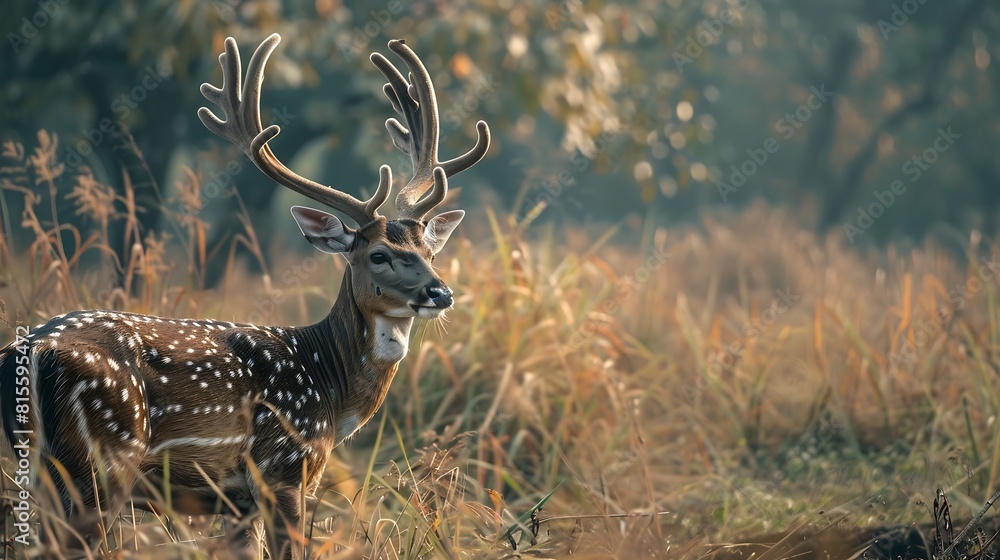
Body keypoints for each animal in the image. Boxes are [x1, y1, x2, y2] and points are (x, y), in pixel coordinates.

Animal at [0, 33, 489, 559]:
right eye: (378, 254)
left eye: (431, 251)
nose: (441, 292)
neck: (330, 391)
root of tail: (29, 350)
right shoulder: (281, 468)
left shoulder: (236, 501)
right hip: (102, 458)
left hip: (46, 470)